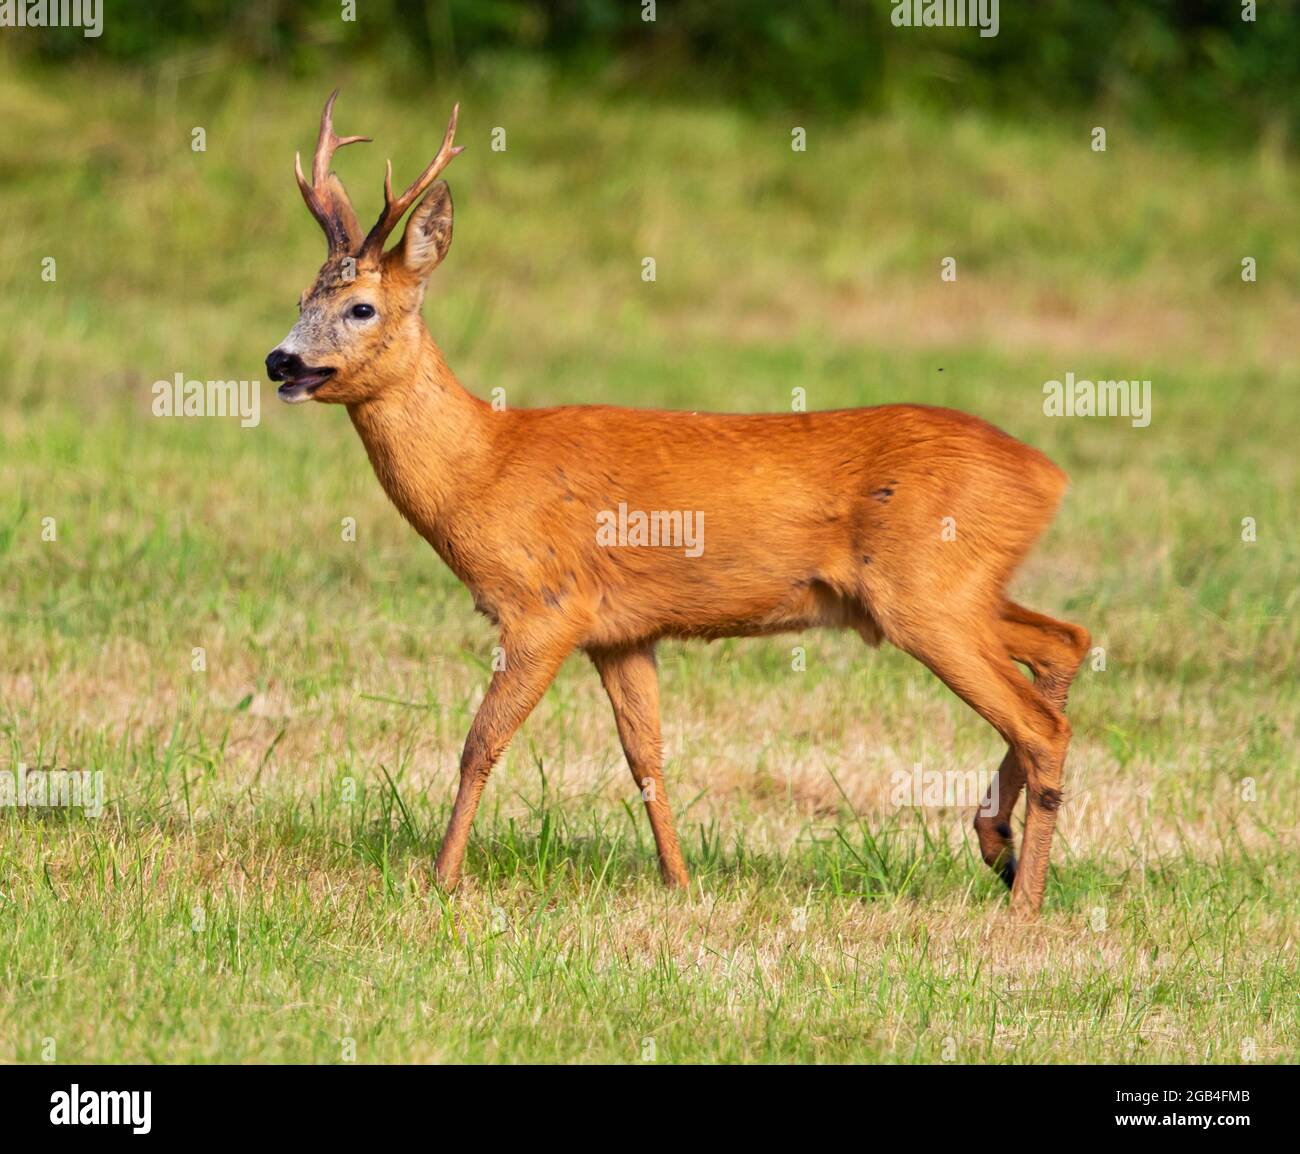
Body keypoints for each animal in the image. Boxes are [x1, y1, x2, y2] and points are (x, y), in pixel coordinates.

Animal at [265, 92, 1091, 918]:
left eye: (361, 307)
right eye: (302, 298)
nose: (280, 360)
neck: (485, 463)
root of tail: (1048, 475)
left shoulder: (544, 606)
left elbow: (481, 743)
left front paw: (441, 879)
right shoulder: (621, 632)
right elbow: (646, 755)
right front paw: (679, 879)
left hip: (925, 591)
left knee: (1042, 721)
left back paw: (1024, 900)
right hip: (951, 589)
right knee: (1065, 642)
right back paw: (998, 847)